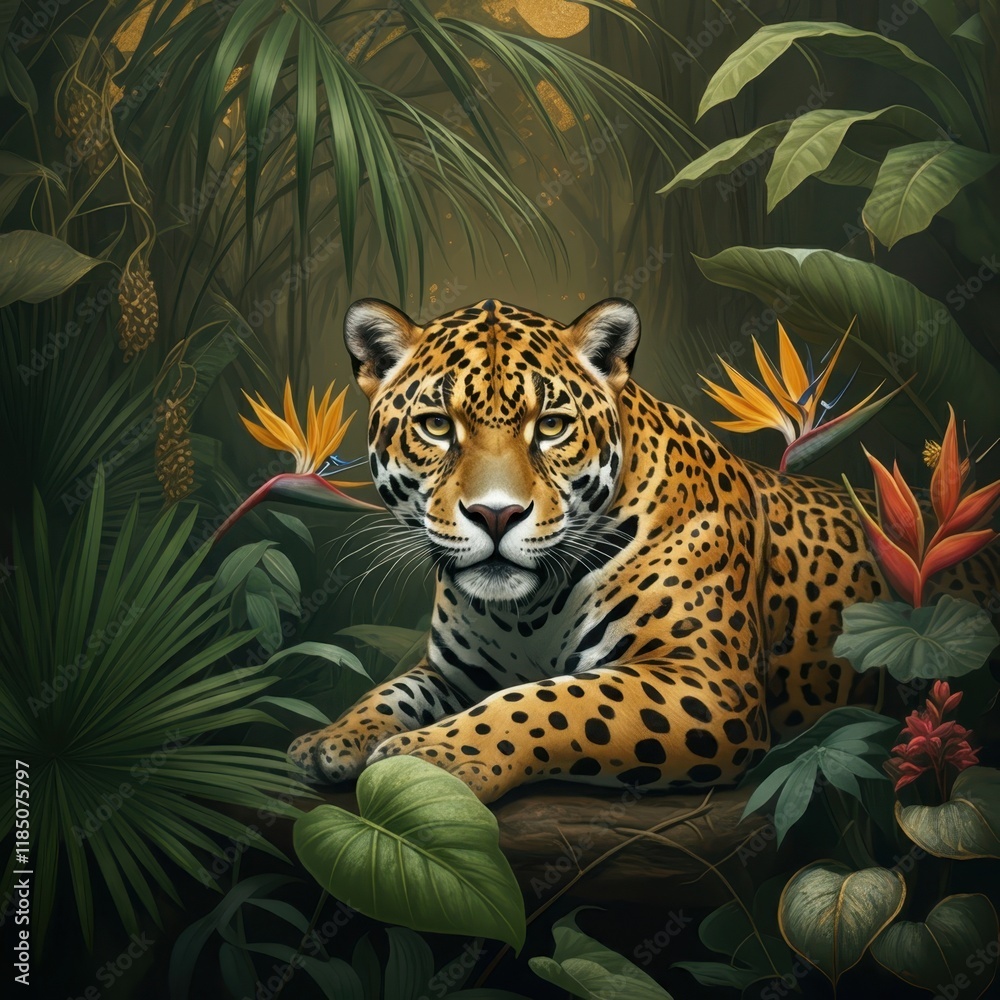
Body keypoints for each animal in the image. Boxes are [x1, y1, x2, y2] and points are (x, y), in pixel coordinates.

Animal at [288, 297, 998, 803]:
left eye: (552, 426)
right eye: (437, 426)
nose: (496, 514)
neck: (523, 614)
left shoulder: (708, 683)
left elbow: (548, 702)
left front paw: (431, 756)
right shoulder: (455, 674)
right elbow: (392, 693)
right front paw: (332, 737)